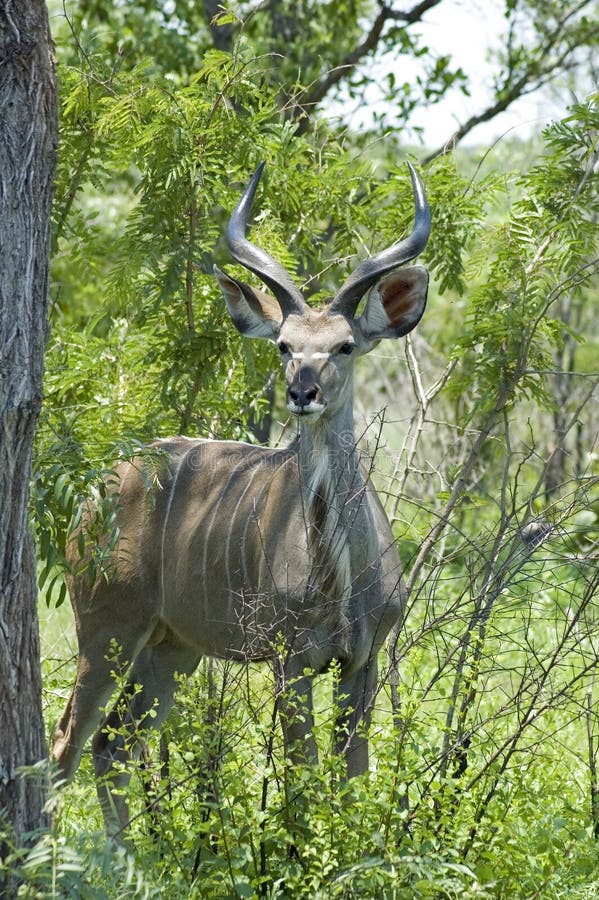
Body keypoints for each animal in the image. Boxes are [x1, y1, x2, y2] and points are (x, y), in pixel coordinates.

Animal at [51, 162, 431, 838]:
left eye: (344, 345)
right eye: (283, 343)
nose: (302, 392)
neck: (339, 576)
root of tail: (92, 492)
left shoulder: (361, 659)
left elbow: (352, 782)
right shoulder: (291, 661)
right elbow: (304, 784)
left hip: (171, 648)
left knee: (112, 741)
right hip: (107, 628)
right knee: (68, 740)